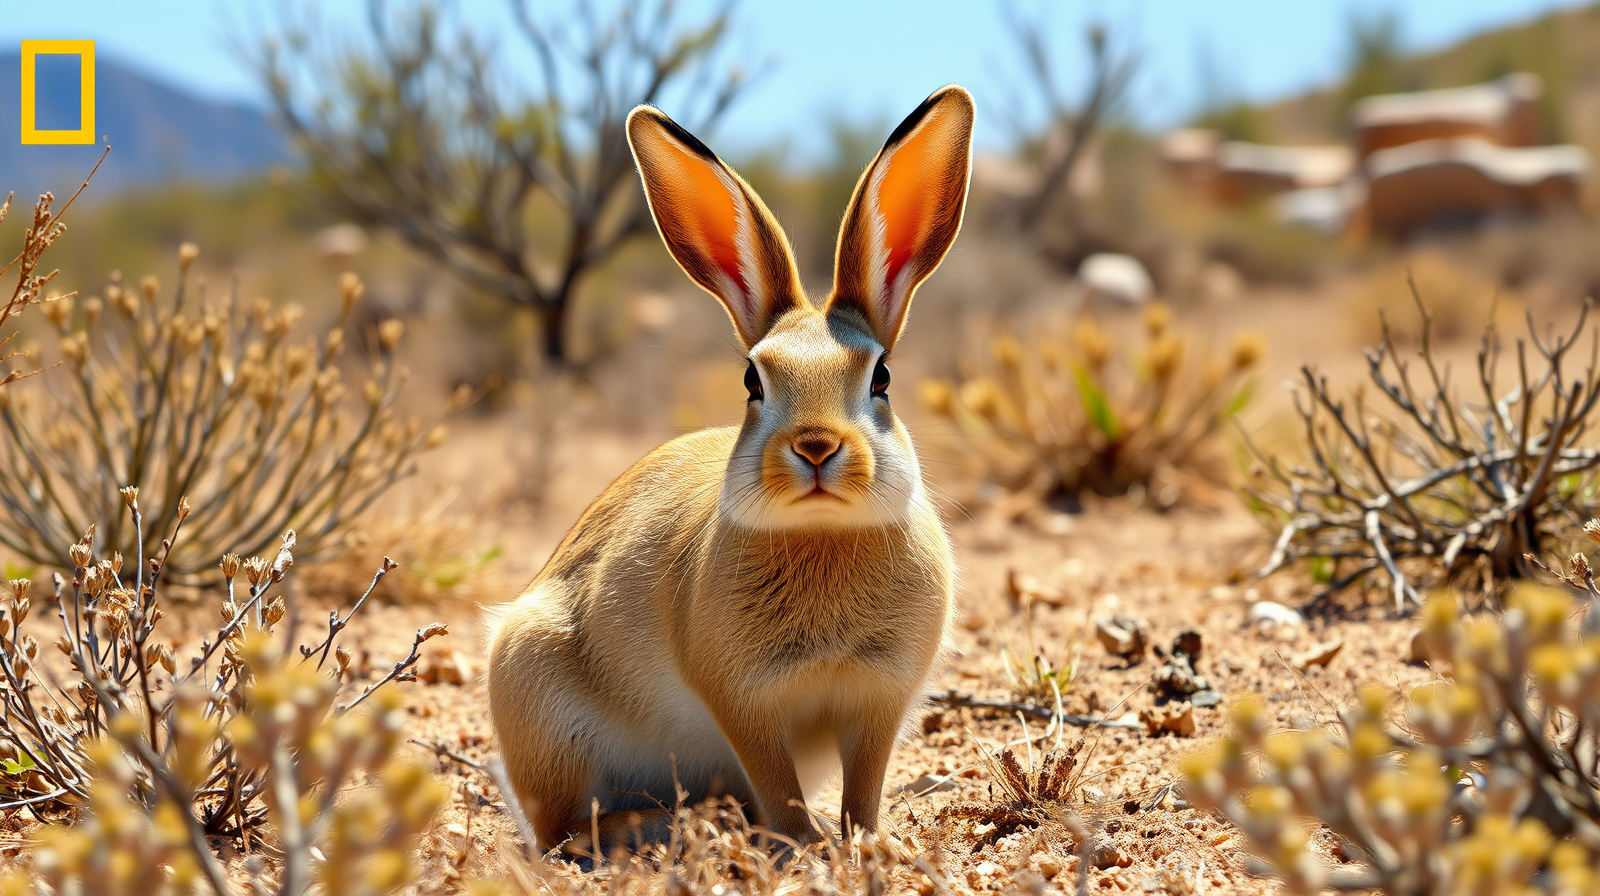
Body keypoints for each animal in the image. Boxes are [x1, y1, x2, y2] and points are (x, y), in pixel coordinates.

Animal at [486, 84, 974, 855]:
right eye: (753, 380)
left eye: (882, 377)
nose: (815, 447)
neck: (823, 536)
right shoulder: (744, 703)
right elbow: (778, 783)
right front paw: (805, 846)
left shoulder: (878, 700)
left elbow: (863, 786)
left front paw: (868, 843)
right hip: (545, 712)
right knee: (562, 830)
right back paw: (665, 826)